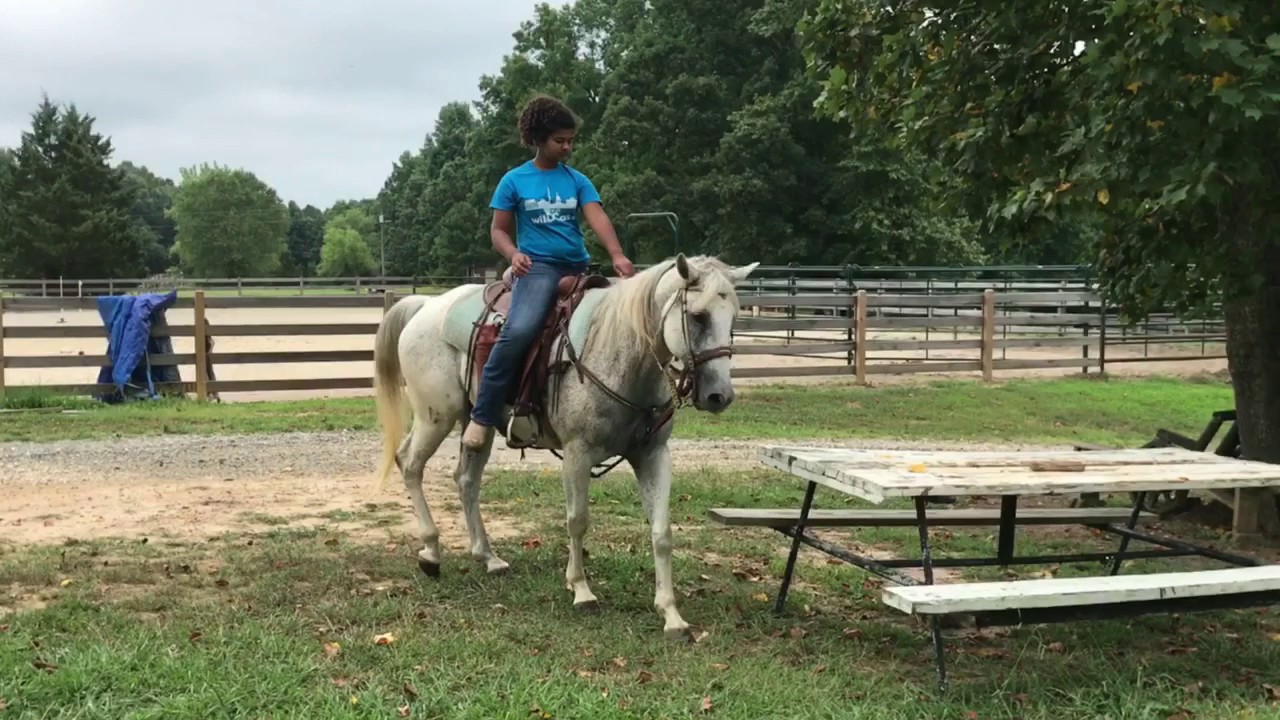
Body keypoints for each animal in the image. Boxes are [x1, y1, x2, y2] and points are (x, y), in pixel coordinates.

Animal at [371, 253, 759, 639]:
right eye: (698, 316)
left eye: (734, 318)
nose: (719, 395)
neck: (618, 352)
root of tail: (426, 305)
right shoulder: (577, 454)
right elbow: (577, 521)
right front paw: (581, 590)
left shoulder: (654, 455)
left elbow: (661, 532)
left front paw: (671, 614)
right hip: (435, 417)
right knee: (410, 463)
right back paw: (431, 551)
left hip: (474, 422)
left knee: (466, 480)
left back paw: (488, 556)